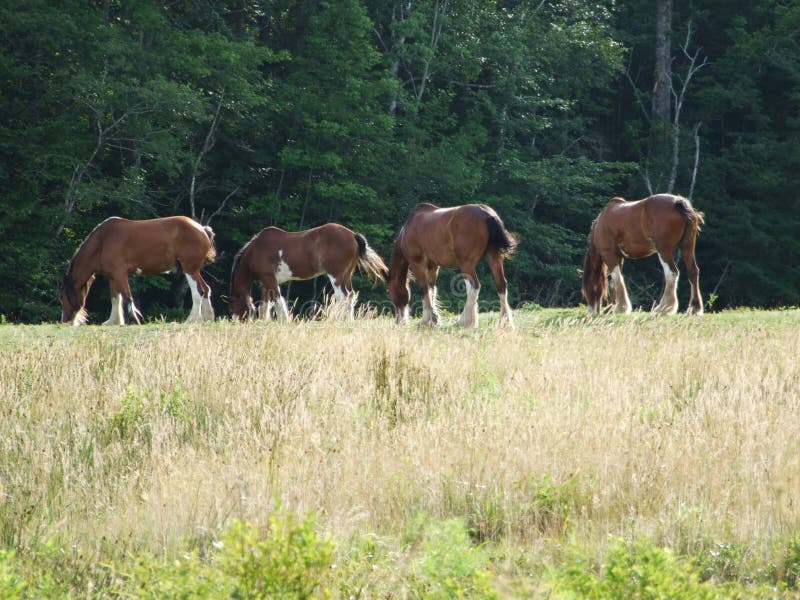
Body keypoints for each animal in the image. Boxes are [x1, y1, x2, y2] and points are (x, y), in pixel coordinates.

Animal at [58, 216, 216, 326]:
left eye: (62, 297)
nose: (65, 321)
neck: (103, 241)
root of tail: (202, 229)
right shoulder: (113, 277)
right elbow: (115, 298)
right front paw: (113, 321)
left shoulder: (120, 274)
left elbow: (127, 297)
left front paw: (134, 320)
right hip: (194, 270)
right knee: (206, 289)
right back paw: (208, 318)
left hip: (189, 270)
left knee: (198, 292)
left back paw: (191, 320)